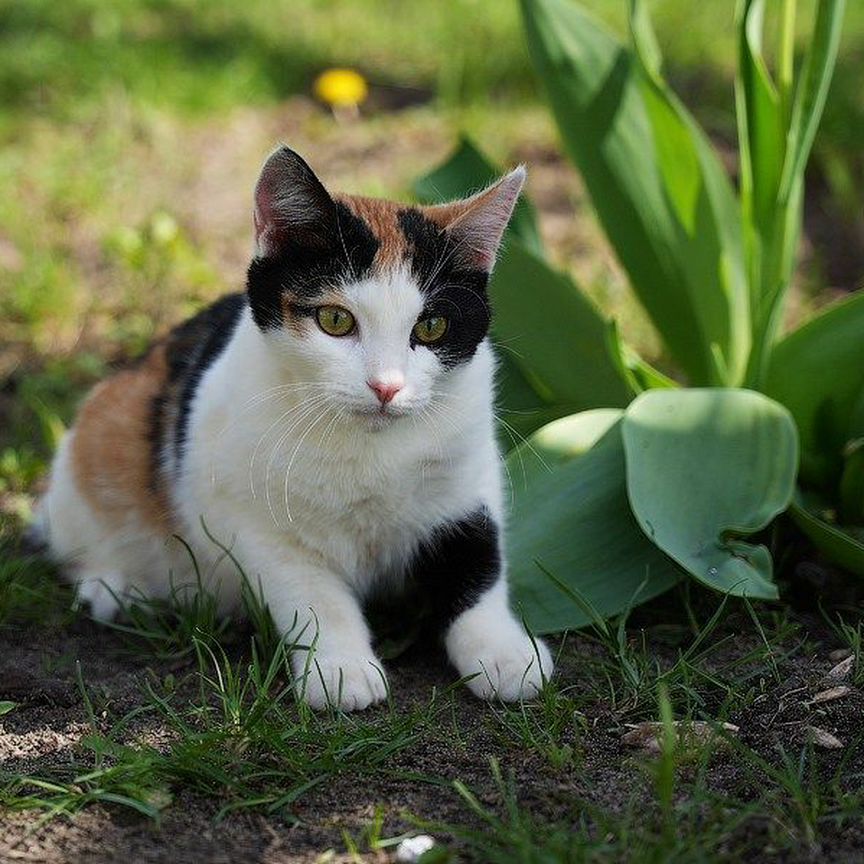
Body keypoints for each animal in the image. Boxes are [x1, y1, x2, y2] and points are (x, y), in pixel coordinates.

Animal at [35, 147, 552, 708]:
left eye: (431, 327)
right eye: (335, 320)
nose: (386, 387)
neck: (369, 450)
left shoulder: (469, 484)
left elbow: (479, 568)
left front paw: (504, 653)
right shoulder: (250, 518)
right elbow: (313, 595)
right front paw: (343, 669)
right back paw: (115, 587)